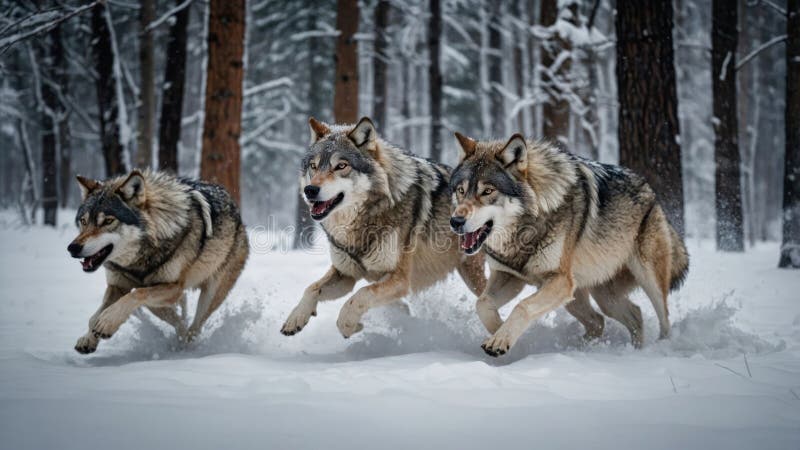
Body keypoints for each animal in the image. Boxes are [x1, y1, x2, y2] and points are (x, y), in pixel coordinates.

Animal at [67, 170, 249, 354]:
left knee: (195, 327)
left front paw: (107, 323)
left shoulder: (173, 287)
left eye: (108, 221)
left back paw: (186, 346)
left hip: (209, 295)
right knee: (177, 315)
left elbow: (136, 294)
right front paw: (88, 338)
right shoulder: (117, 286)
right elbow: (94, 316)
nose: (72, 248)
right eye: (83, 221)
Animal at [280, 117, 487, 338]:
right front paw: (295, 319)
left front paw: (351, 326)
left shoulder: (399, 279)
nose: (310, 190)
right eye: (314, 166)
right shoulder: (346, 273)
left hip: (473, 275)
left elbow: (358, 297)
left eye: (341, 165)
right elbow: (311, 288)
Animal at [449, 132, 689, 357]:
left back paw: (659, 348)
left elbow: (522, 306)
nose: (455, 221)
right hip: (596, 298)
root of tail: (651, 192)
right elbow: (482, 304)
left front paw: (501, 338)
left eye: (487, 191)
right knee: (618, 317)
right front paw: (500, 331)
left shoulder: (561, 280)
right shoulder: (510, 276)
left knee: (663, 320)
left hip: (646, 280)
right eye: (461, 190)